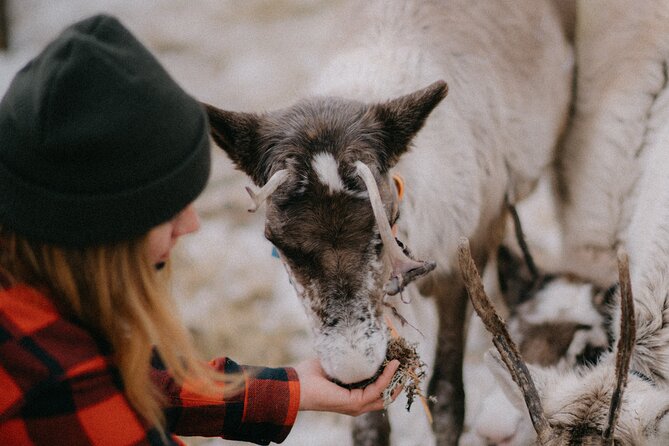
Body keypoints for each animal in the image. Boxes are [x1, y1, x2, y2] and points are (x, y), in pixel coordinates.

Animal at [203, 1, 572, 444]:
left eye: (385, 226)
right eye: (280, 243)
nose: (353, 368)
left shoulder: (467, 253)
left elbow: (448, 399)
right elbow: (369, 423)